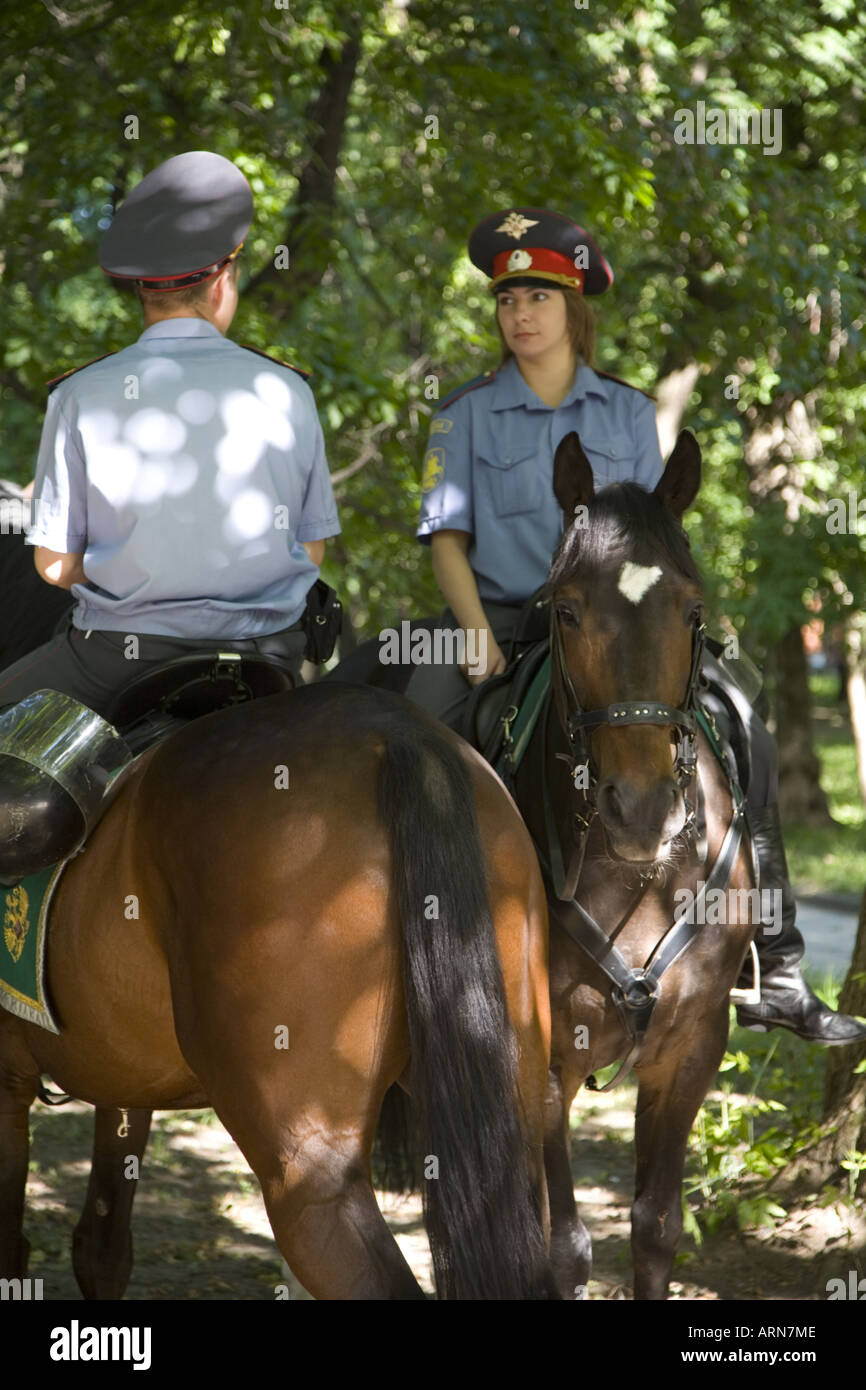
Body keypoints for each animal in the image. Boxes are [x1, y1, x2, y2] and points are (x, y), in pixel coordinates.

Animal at [0, 682, 554, 1300]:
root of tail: (397, 730)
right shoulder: (121, 1076)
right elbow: (102, 1248)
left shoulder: (10, 1084)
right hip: (515, 1122)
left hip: (309, 1174)